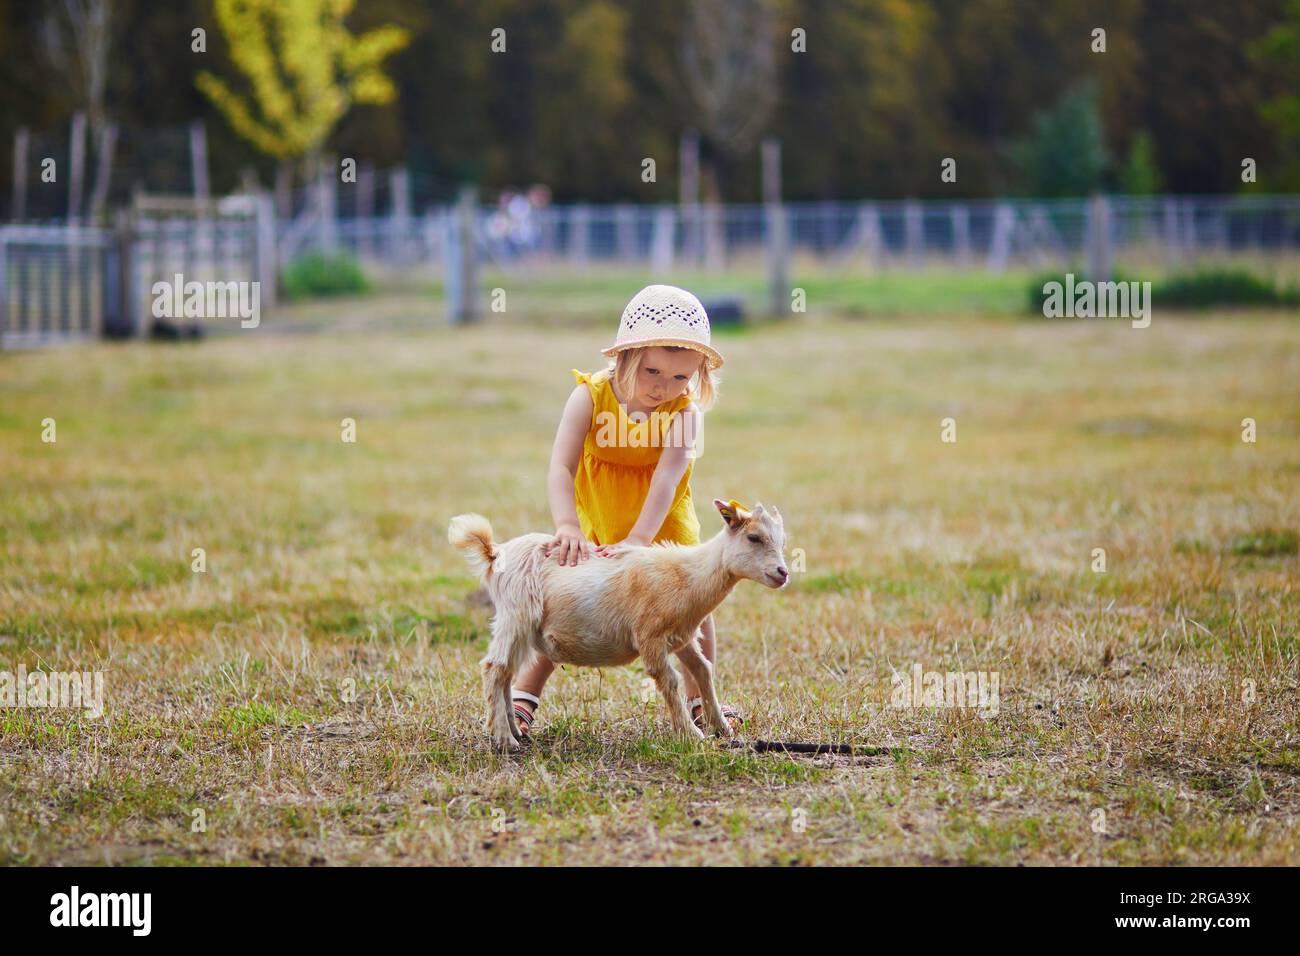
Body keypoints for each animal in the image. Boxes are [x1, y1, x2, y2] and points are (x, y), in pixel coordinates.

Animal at [448, 498, 788, 750]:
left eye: (782, 541)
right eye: (753, 537)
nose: (783, 573)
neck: (688, 576)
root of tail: (496, 554)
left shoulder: (681, 637)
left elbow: (703, 669)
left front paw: (722, 727)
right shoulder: (650, 638)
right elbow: (670, 680)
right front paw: (691, 735)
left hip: (520, 626)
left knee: (505, 673)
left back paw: (511, 729)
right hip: (516, 614)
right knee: (494, 668)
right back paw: (505, 739)